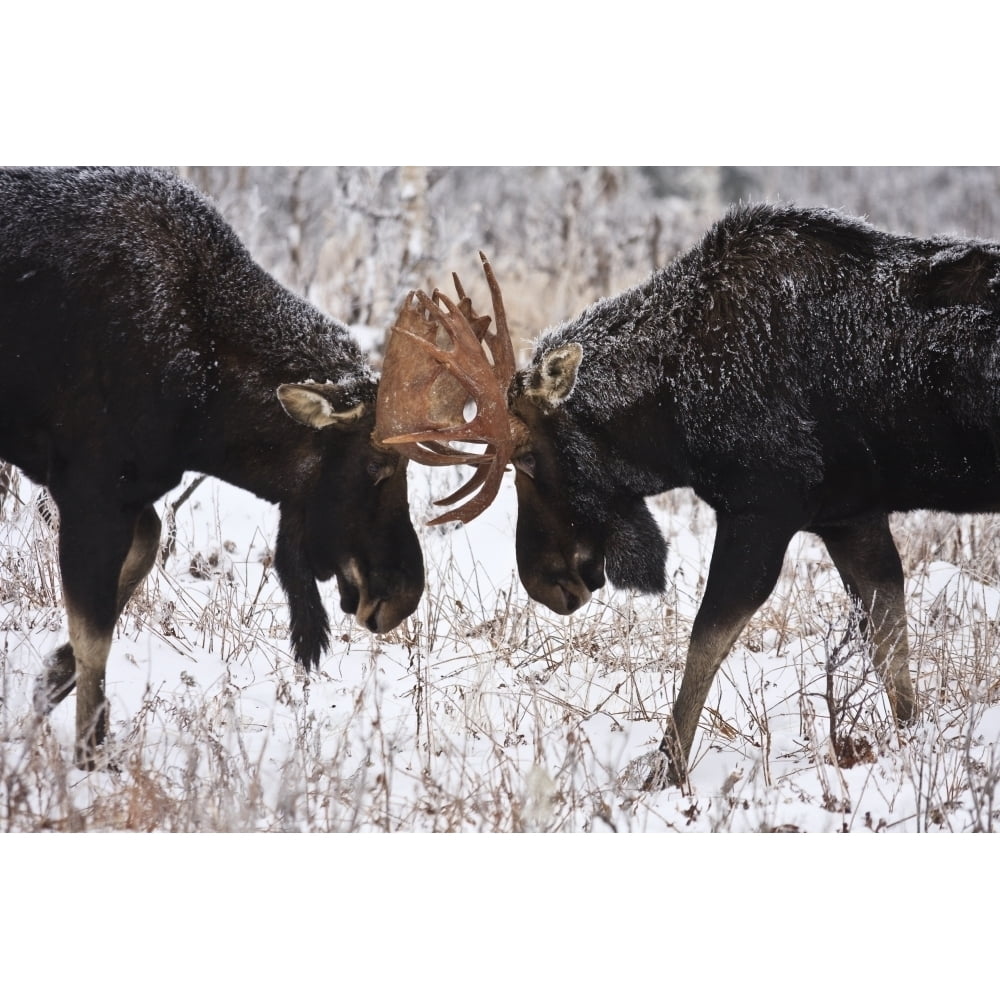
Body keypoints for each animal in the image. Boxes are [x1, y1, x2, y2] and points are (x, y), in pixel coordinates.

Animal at [0, 166, 424, 768]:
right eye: (378, 463)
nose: (405, 594)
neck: (203, 406)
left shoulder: (130, 491)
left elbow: (136, 567)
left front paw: (48, 681)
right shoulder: (91, 489)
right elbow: (96, 632)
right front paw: (91, 755)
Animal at [374, 204, 1000, 787]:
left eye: (527, 458)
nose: (545, 583)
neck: (673, 424)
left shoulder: (762, 510)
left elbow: (705, 639)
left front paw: (665, 772)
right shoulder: (852, 516)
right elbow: (890, 647)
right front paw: (912, 751)